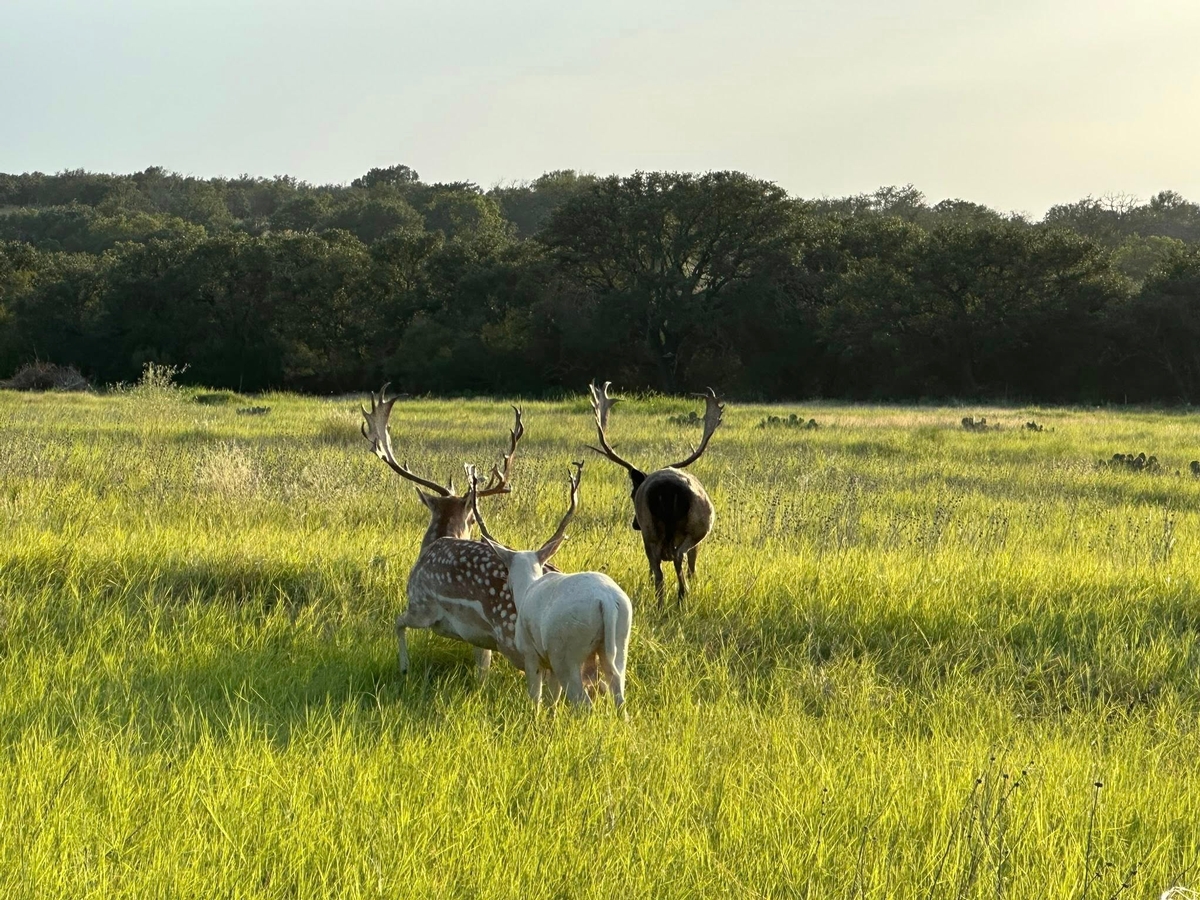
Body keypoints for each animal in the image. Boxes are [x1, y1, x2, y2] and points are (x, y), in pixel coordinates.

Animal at [472, 463, 632, 710]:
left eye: (506, 574)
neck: (526, 589)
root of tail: (605, 601)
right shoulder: (549, 665)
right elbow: (552, 700)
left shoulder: (531, 654)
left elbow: (536, 697)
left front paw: (534, 717)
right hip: (619, 642)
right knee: (618, 693)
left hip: (566, 652)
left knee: (583, 701)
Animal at [587, 381, 724, 606]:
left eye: (632, 494)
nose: (634, 524)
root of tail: (667, 490)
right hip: (687, 529)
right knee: (674, 559)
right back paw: (678, 597)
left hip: (652, 530)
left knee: (662, 567)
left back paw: (670, 600)